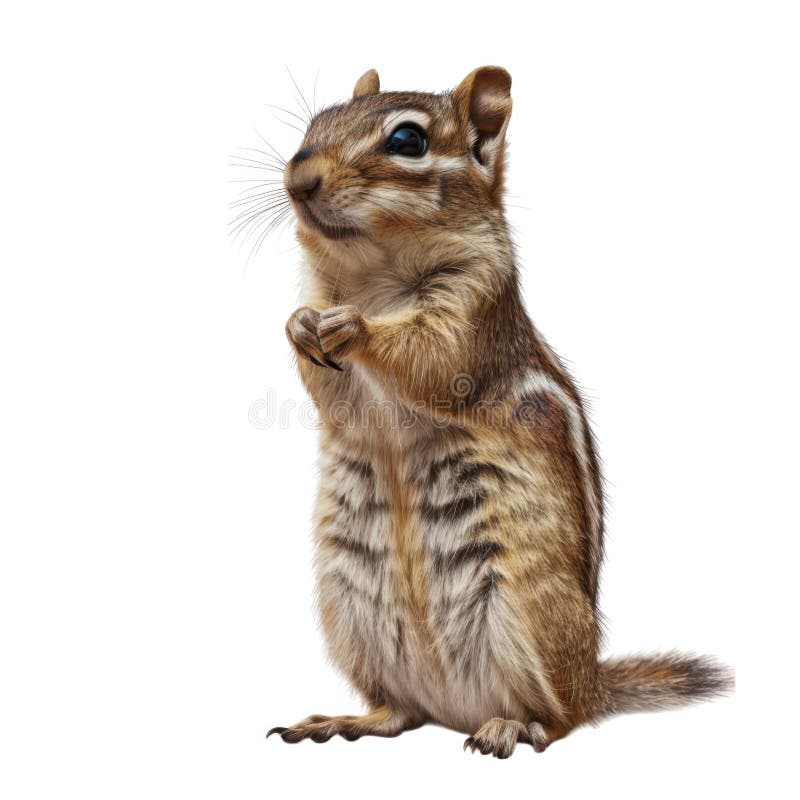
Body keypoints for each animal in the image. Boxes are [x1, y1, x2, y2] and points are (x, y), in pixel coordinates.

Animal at [264, 67, 733, 758]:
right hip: (346, 607)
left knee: (564, 718)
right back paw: (347, 720)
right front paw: (300, 326)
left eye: (407, 140)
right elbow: (325, 386)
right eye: (314, 124)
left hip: (527, 608)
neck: (373, 276)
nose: (299, 180)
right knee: (399, 713)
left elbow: (430, 357)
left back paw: (514, 725)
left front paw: (357, 330)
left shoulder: (473, 309)